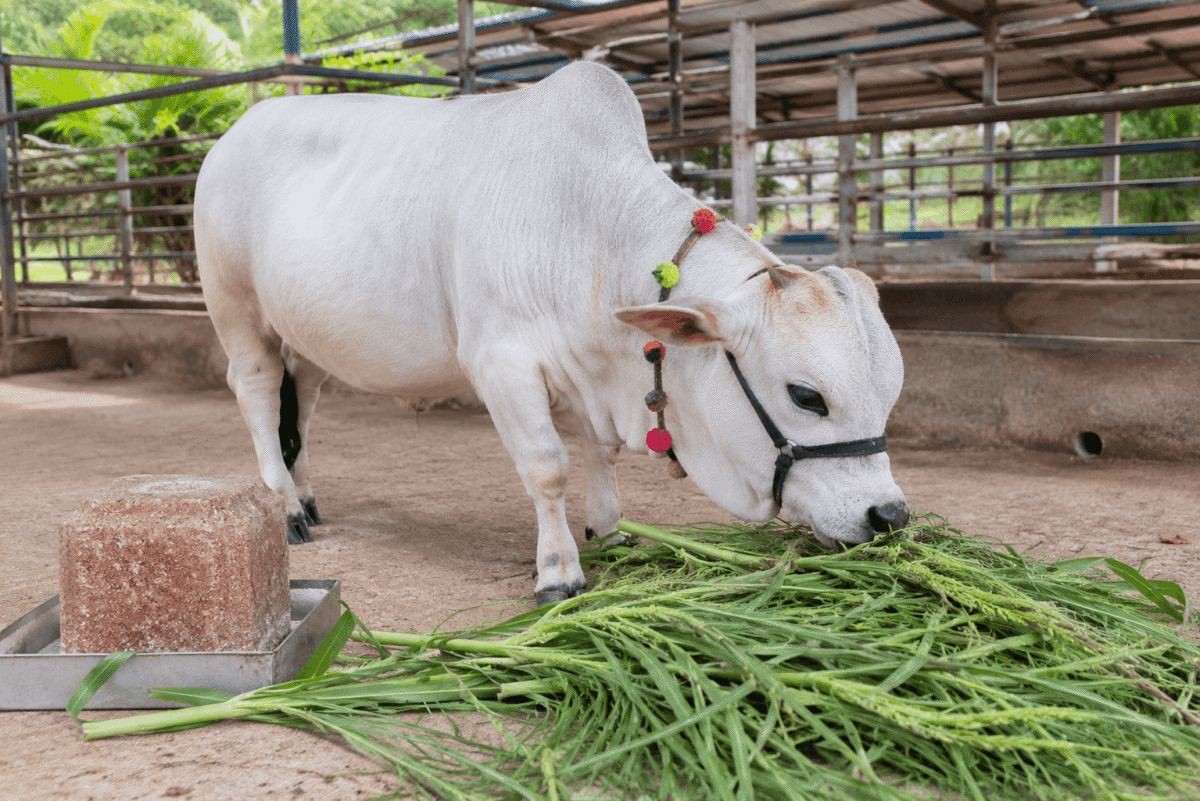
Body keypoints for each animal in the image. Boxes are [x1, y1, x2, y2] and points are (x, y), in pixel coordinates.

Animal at [194, 61, 908, 606]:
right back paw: (285, 506)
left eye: (890, 395)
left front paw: (610, 529)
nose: (890, 517)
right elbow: (548, 467)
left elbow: (599, 453)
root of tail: (236, 131)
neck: (589, 227)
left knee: (301, 400)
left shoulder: (588, 372)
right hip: (236, 308)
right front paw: (558, 570)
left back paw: (308, 495)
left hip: (308, 336)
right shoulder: (500, 363)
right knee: (256, 390)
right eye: (807, 396)